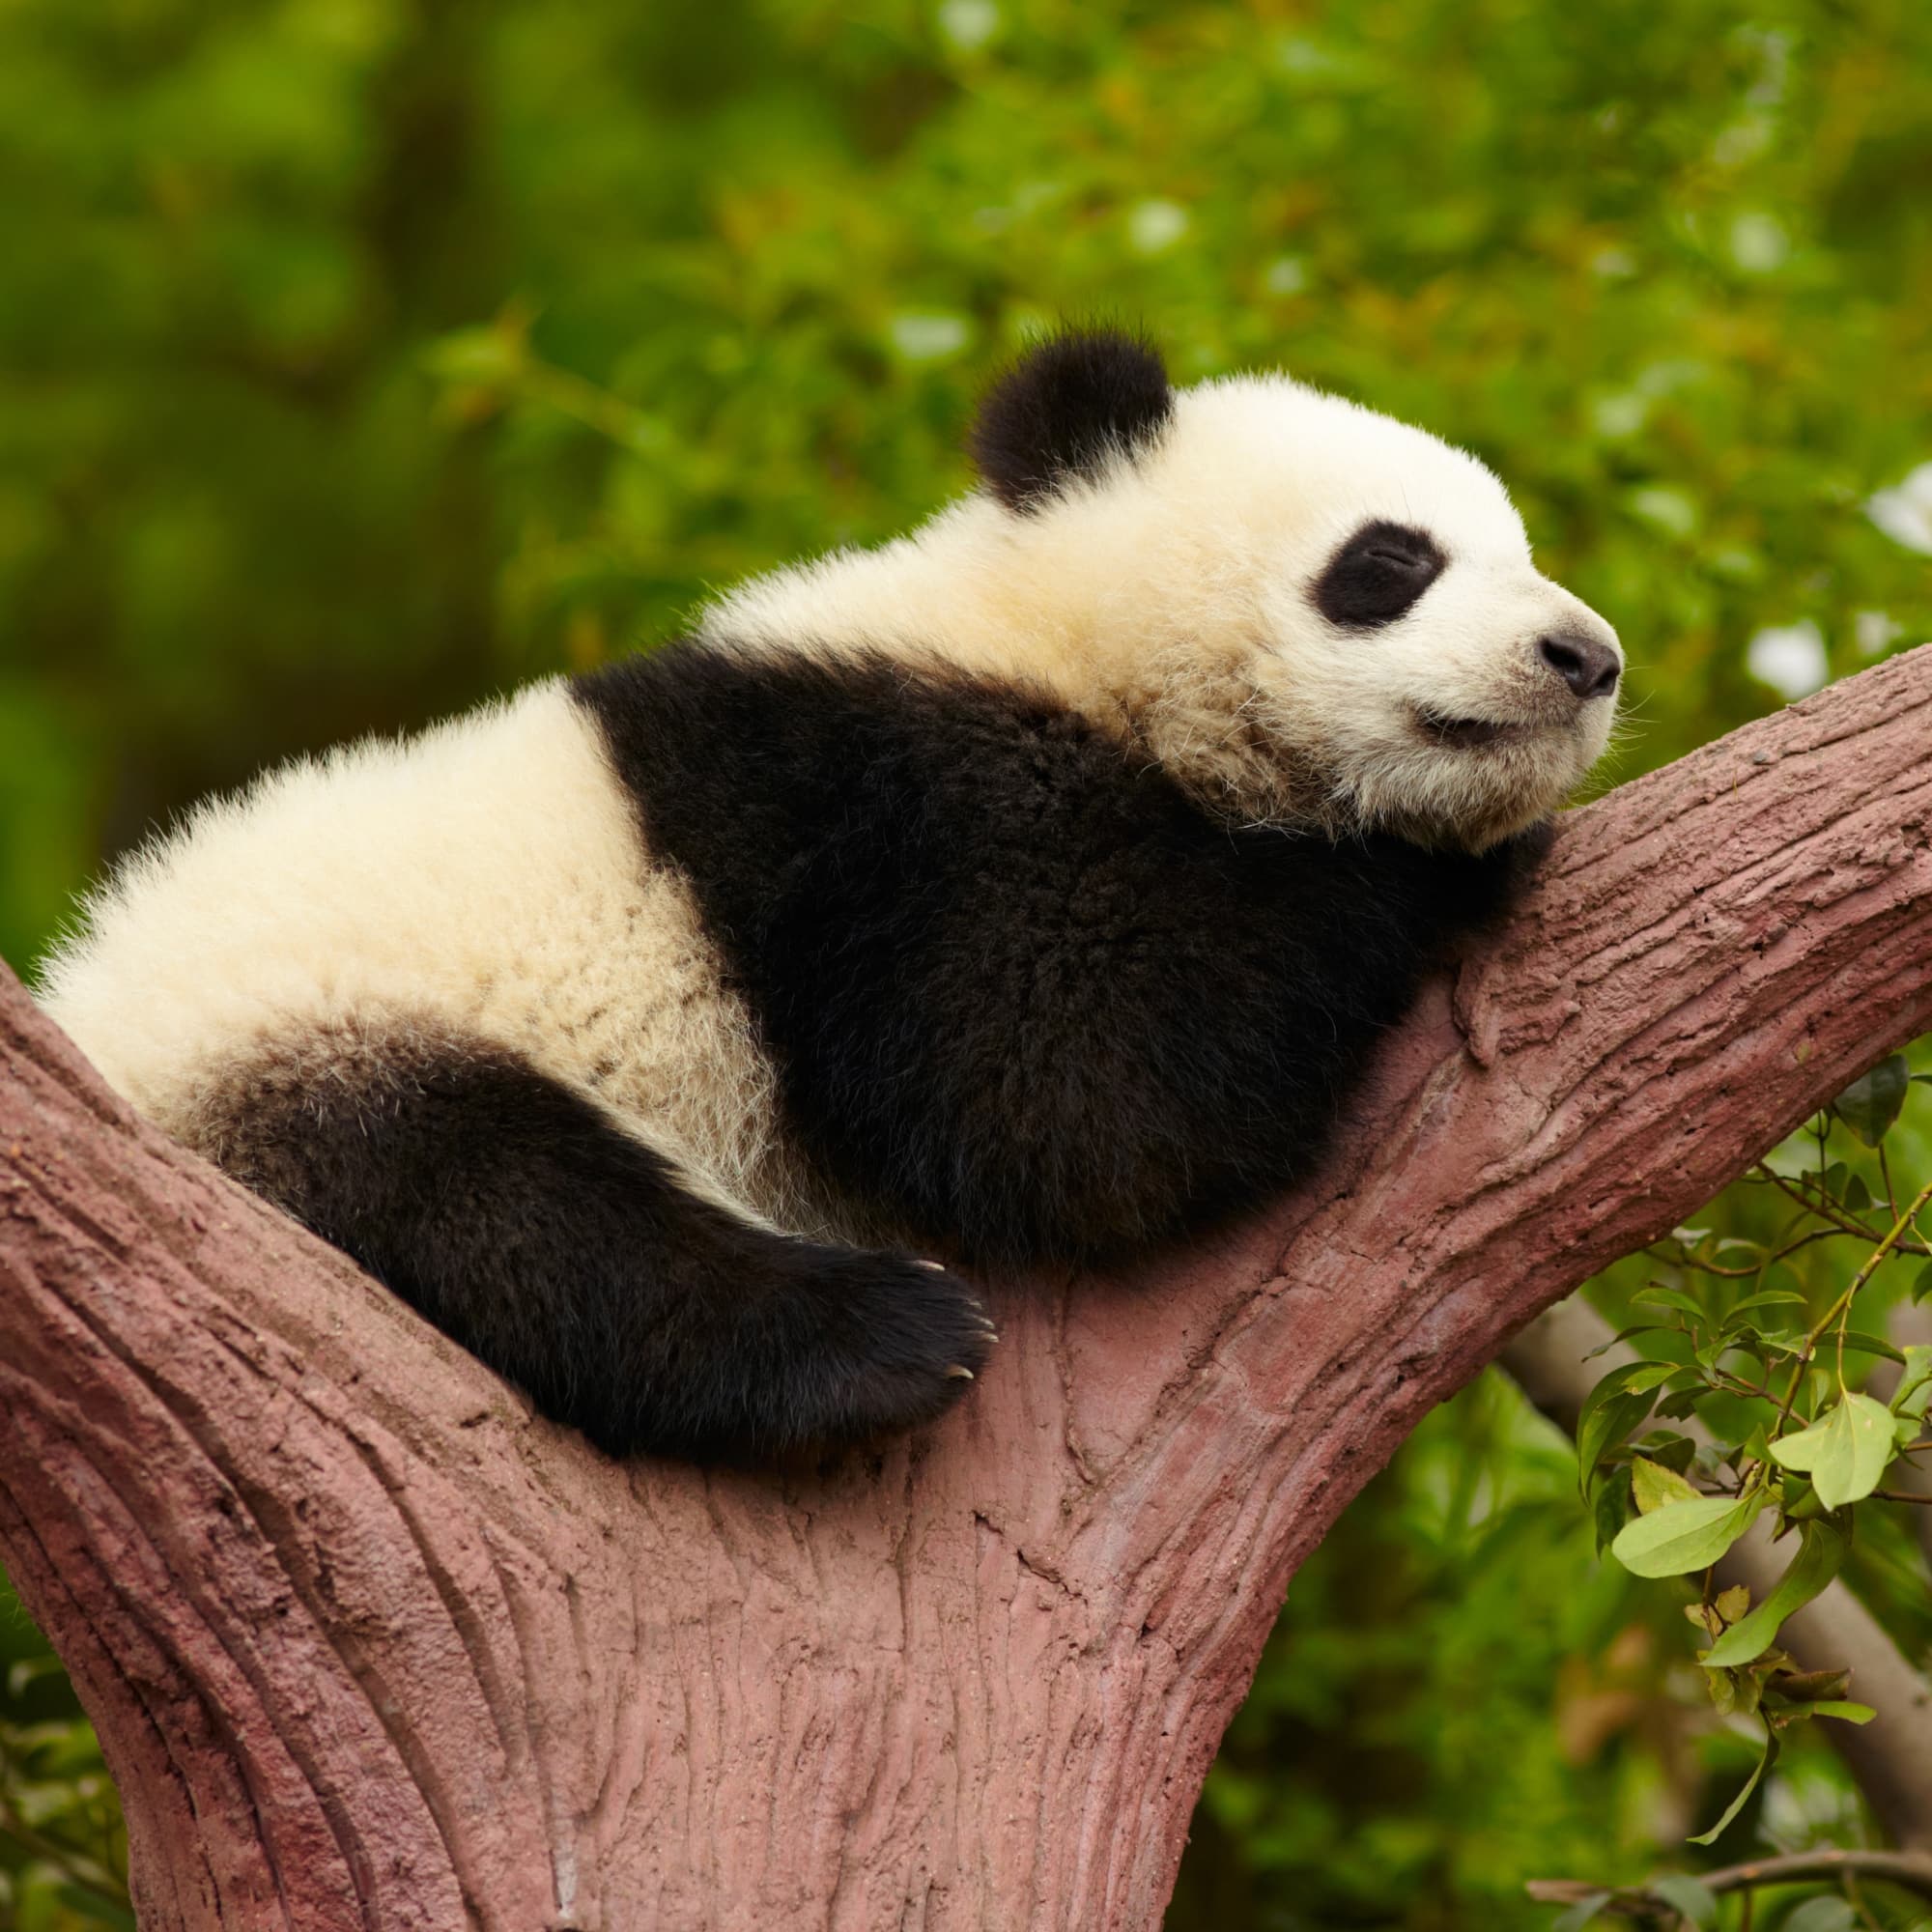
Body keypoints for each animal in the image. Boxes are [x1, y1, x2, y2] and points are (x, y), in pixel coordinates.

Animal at [37, 327, 1622, 1464]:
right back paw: (881, 1340)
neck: (1048, 630)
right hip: (296, 1043)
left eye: (1526, 547)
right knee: (499, 1201)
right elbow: (1073, 1089)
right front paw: (1437, 862)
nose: (1584, 657)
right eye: (1389, 562)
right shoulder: (885, 808)